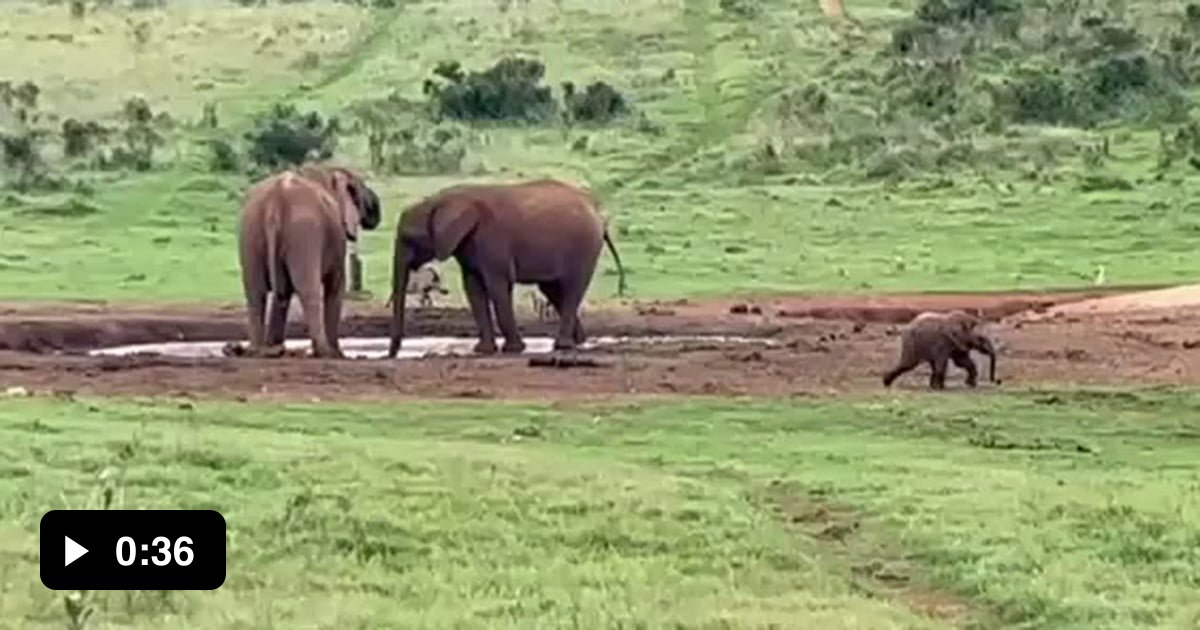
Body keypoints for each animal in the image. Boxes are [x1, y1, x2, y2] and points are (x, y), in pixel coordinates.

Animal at [237, 164, 381, 359]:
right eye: (361, 190)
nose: (376, 208)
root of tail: (275, 200)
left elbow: (282, 290)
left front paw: (275, 347)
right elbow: (336, 285)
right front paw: (338, 354)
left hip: (250, 230)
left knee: (256, 292)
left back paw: (257, 350)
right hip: (305, 232)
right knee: (308, 290)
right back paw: (323, 352)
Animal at [387, 178, 626, 357]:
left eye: (409, 238)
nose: (392, 353)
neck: (442, 200)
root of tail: (598, 213)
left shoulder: (492, 239)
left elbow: (497, 286)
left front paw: (513, 350)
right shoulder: (468, 244)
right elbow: (473, 289)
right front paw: (483, 350)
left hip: (584, 246)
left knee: (571, 288)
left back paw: (563, 346)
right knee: (552, 290)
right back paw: (579, 342)